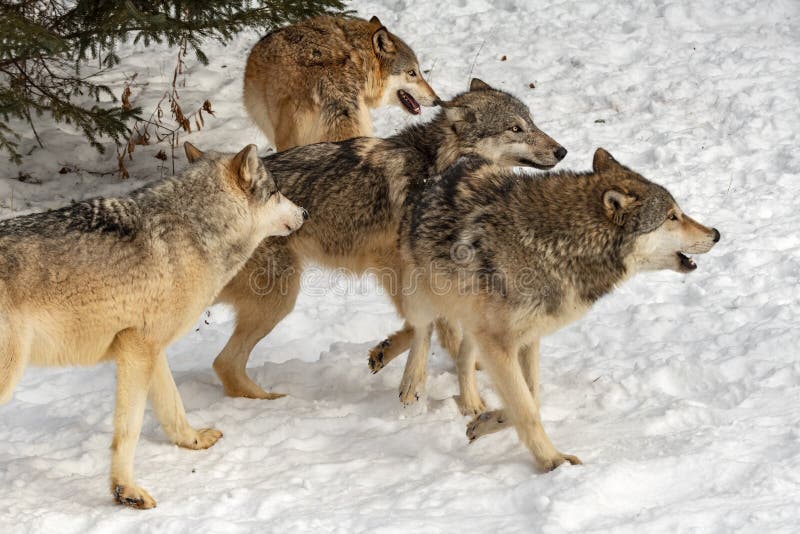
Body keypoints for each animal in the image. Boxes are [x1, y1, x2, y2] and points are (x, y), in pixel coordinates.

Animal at [0, 144, 306, 508]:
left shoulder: (150, 348)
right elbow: (129, 429)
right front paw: (127, 491)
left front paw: (193, 441)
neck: (196, 229)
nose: (305, 212)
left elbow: (172, 407)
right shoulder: (138, 349)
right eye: (275, 192)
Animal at [207, 80, 568, 402]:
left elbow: (434, 324)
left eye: (531, 123)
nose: (562, 150)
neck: (436, 169)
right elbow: (428, 324)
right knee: (224, 363)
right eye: (515, 129)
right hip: (280, 297)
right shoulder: (395, 266)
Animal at [395, 148, 720, 471]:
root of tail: (450, 168)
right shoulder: (500, 344)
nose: (716, 233)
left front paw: (484, 422)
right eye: (672, 217)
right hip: (428, 299)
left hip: (475, 322)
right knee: (422, 329)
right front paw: (552, 461)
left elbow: (531, 397)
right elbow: (526, 409)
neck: (557, 246)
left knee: (463, 356)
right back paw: (412, 382)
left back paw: (472, 404)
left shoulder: (524, 337)